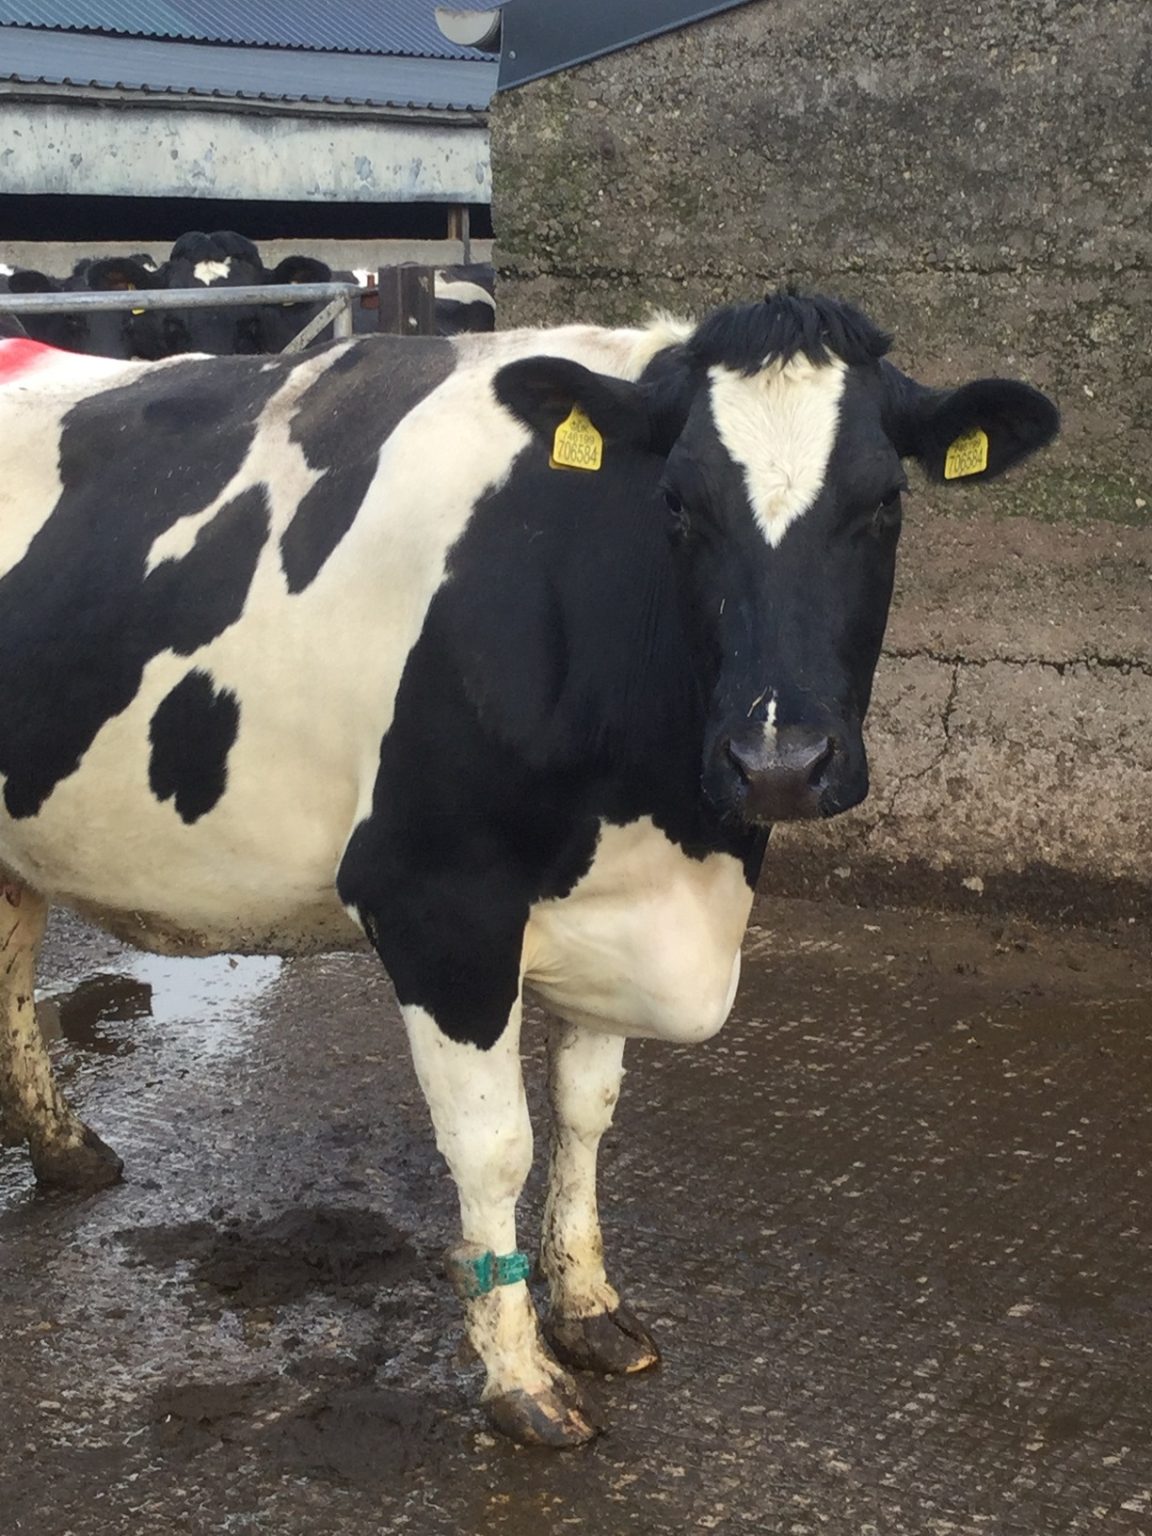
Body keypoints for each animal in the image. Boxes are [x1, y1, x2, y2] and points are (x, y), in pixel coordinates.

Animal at [0, 294, 1058, 1445]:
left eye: (886, 504)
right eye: (678, 506)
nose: (778, 763)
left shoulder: (618, 898)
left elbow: (586, 1111)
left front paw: (589, 1307)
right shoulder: (435, 902)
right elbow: (494, 1145)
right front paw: (519, 1376)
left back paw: (66, 1151)